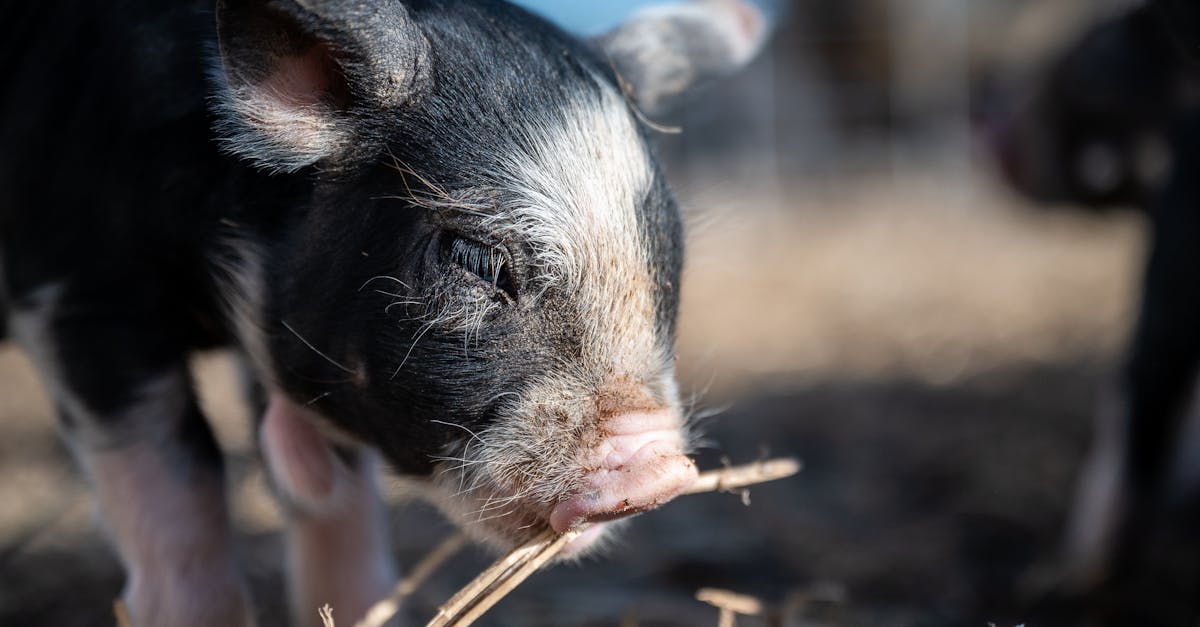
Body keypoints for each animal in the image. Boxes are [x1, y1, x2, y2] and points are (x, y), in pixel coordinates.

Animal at [0, 2, 768, 619]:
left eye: (668, 252)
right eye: (477, 257)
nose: (660, 471)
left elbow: (340, 515)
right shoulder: (77, 295)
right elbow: (175, 492)